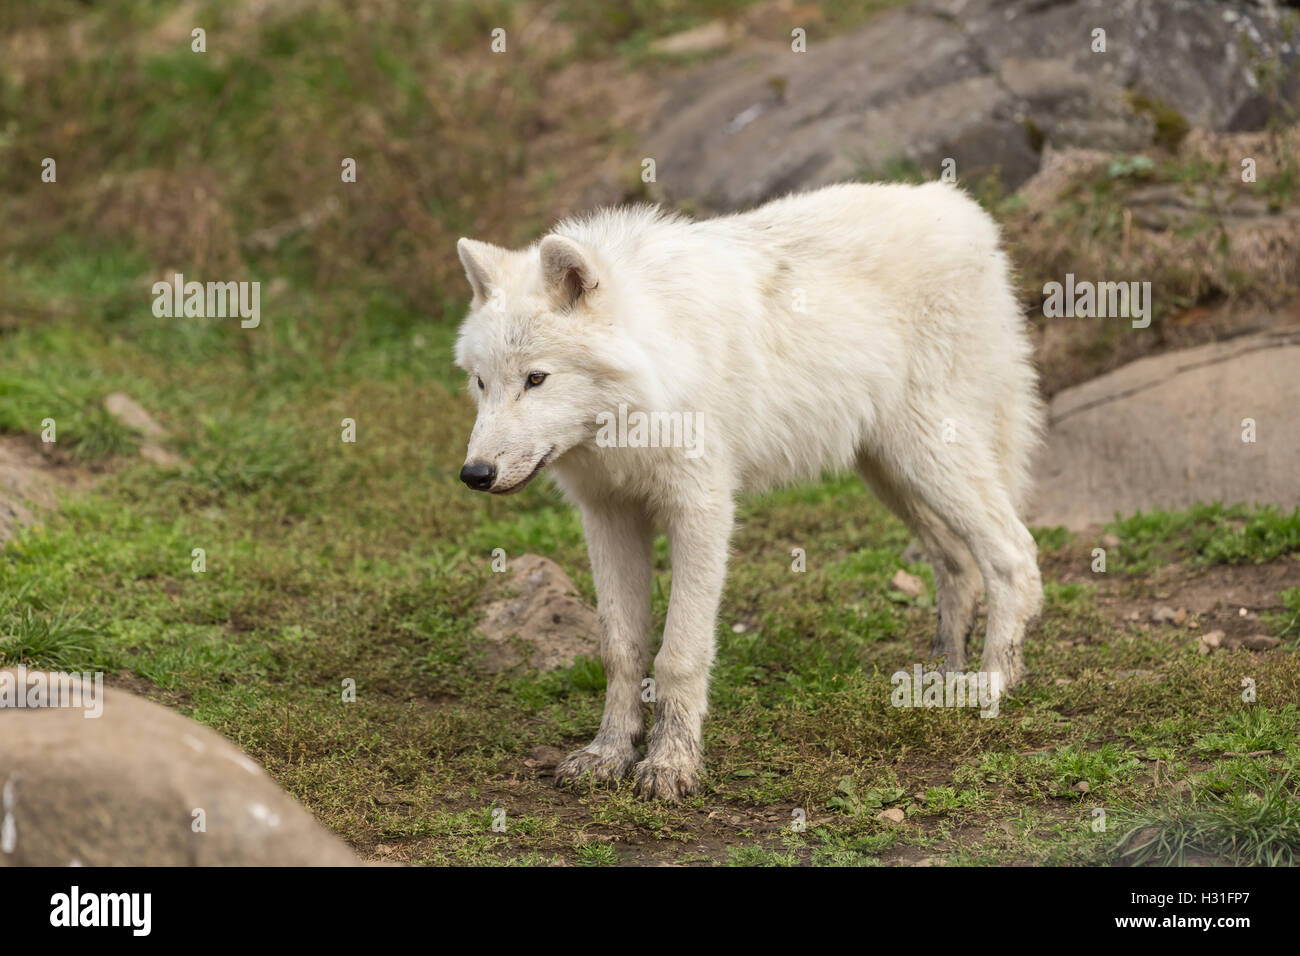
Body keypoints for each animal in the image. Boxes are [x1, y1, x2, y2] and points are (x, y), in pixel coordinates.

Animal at [454, 182, 1044, 800]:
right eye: (481, 382)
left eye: (536, 379)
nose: (475, 473)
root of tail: (960, 206)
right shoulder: (609, 515)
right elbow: (620, 648)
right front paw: (609, 753)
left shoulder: (702, 511)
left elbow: (679, 653)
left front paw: (672, 763)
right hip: (890, 472)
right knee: (958, 562)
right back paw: (944, 675)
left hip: (929, 455)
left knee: (1013, 553)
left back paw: (991, 683)